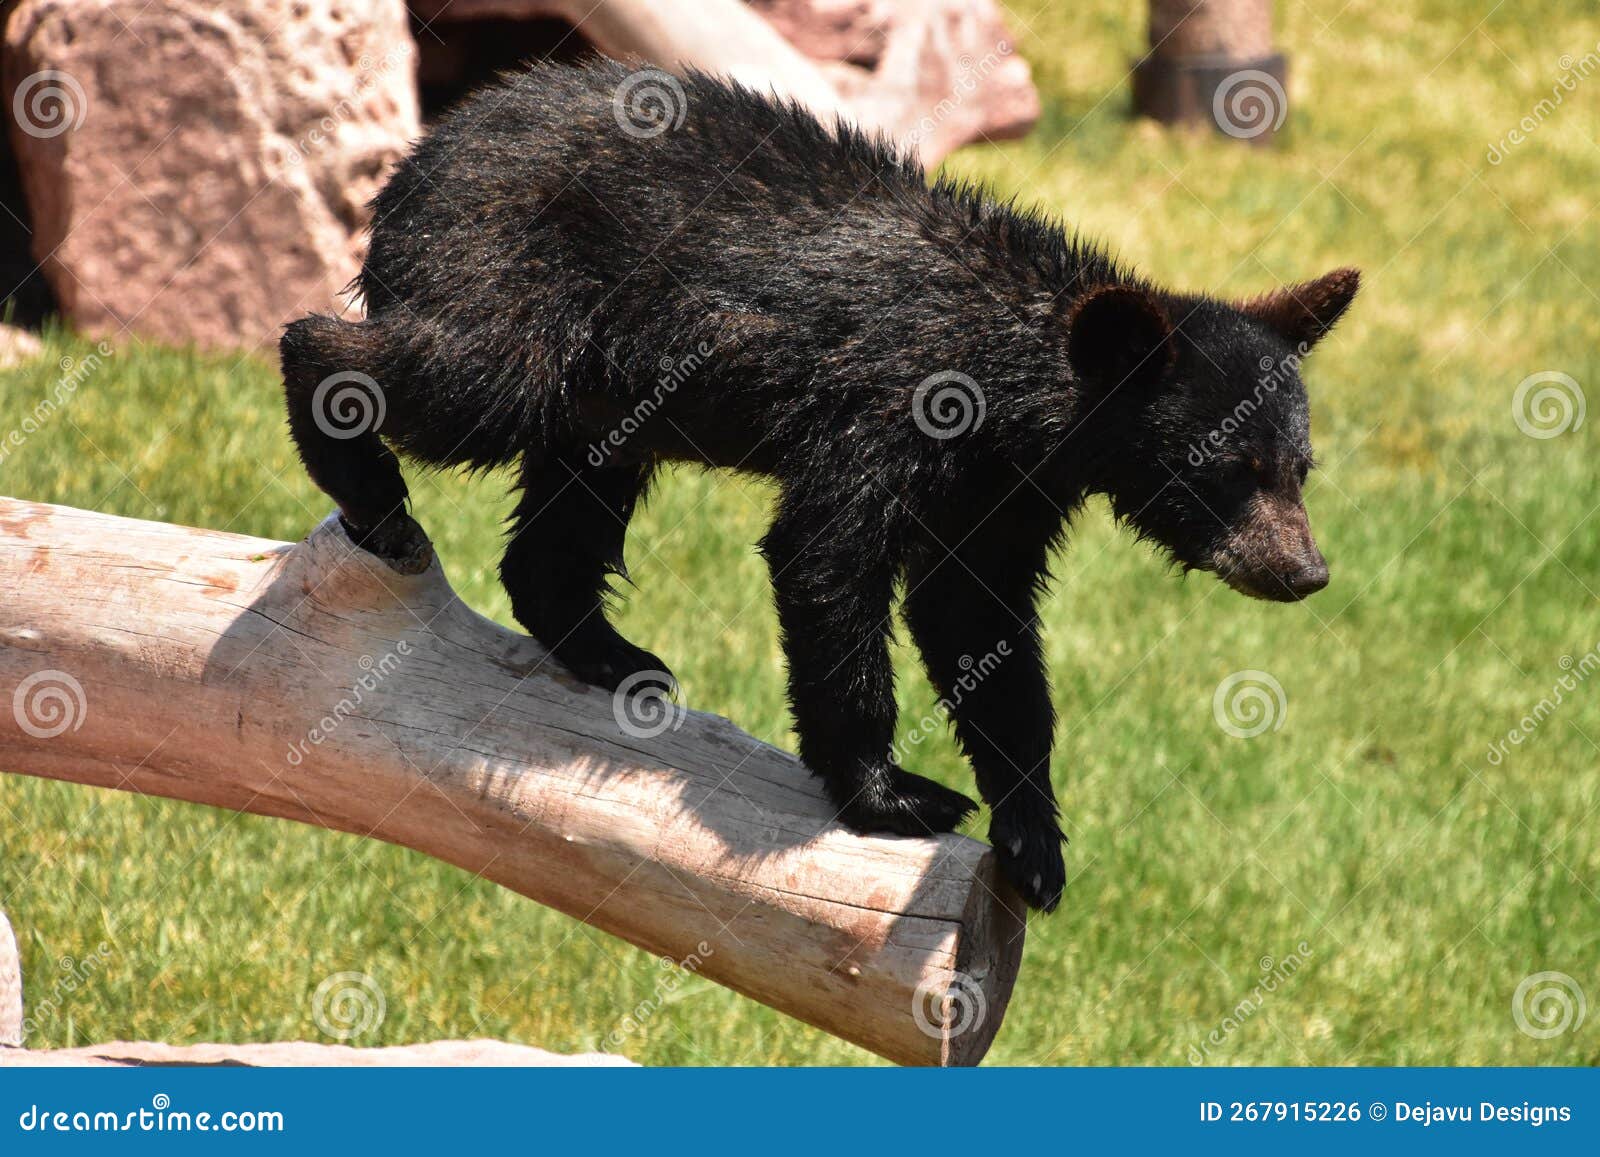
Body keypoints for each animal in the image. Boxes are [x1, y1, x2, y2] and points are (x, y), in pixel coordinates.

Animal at [281, 59, 1358, 912]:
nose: (1305, 571)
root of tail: (421, 155)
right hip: (521, 288)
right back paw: (366, 479)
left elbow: (978, 619)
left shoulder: (1005, 490)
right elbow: (828, 556)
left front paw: (1033, 836)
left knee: (566, 511)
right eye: (1227, 469)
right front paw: (894, 793)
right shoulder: (893, 406)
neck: (1017, 391)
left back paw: (610, 650)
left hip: (607, 397)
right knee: (437, 374)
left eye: (1298, 467)